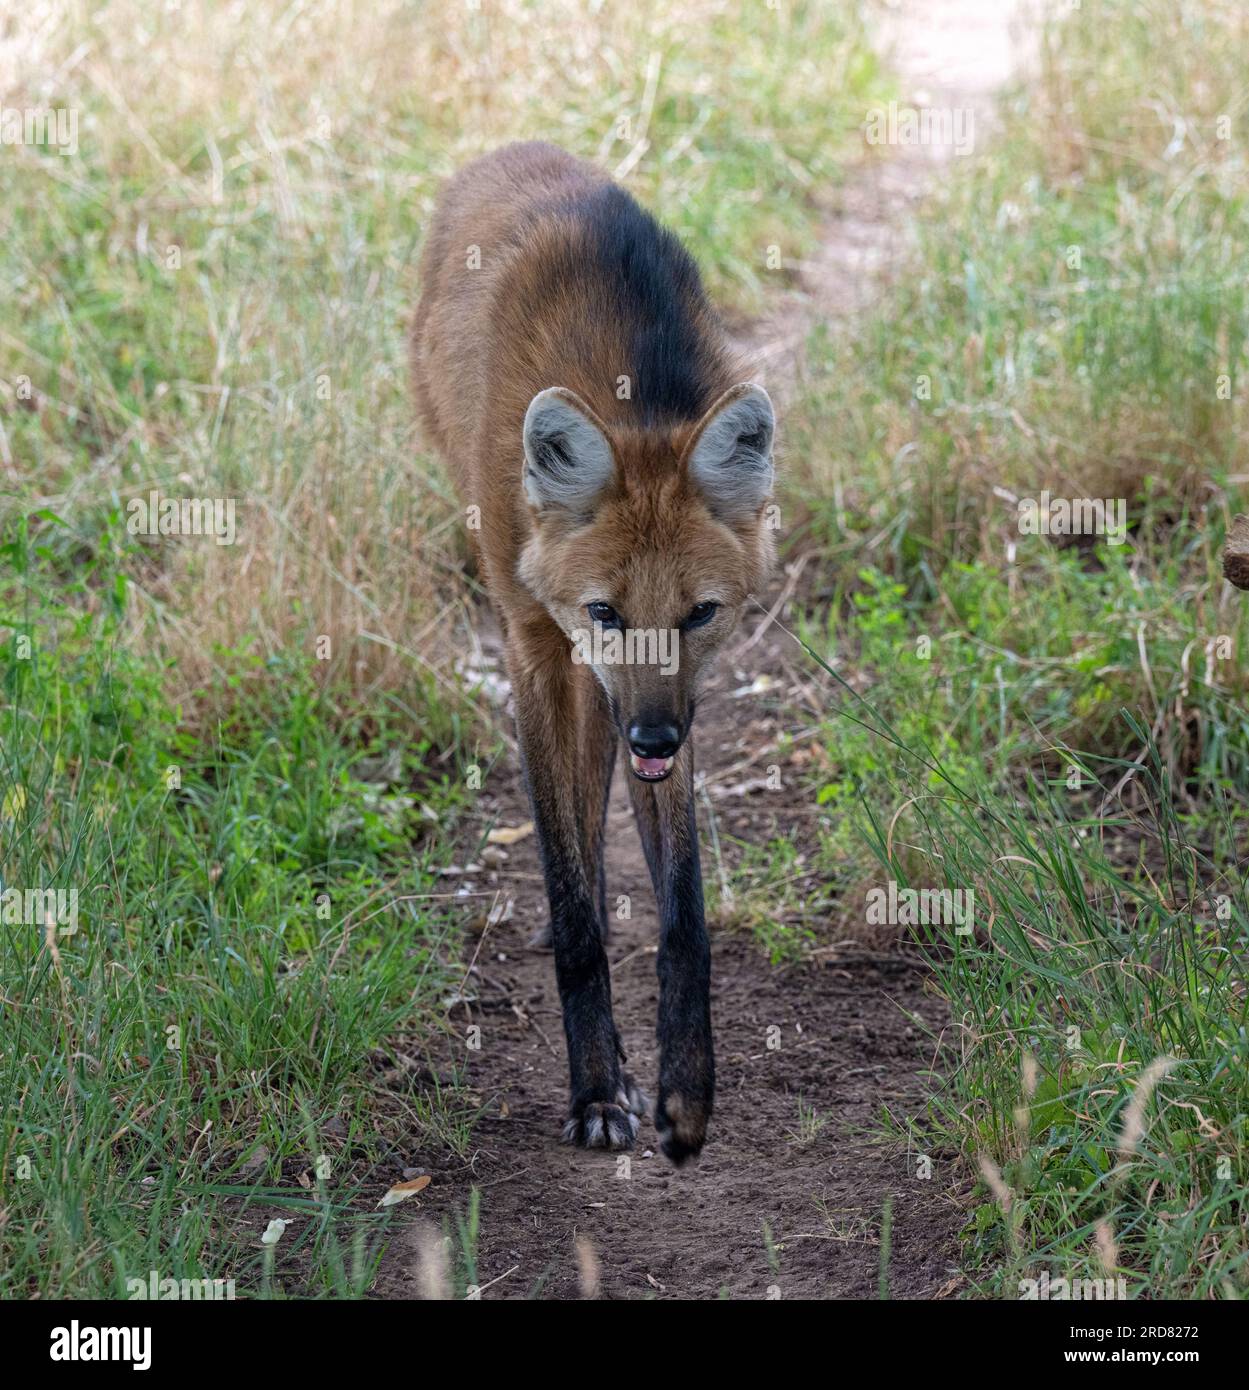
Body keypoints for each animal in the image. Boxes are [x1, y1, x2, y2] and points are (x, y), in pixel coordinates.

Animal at [411, 142, 777, 1162]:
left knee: (597, 773)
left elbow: (684, 915)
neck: (630, 384)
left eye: (698, 615)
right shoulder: (537, 642)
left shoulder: (675, 696)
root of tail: (511, 148)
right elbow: (574, 899)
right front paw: (594, 1092)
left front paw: (683, 1096)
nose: (654, 736)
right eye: (606, 610)